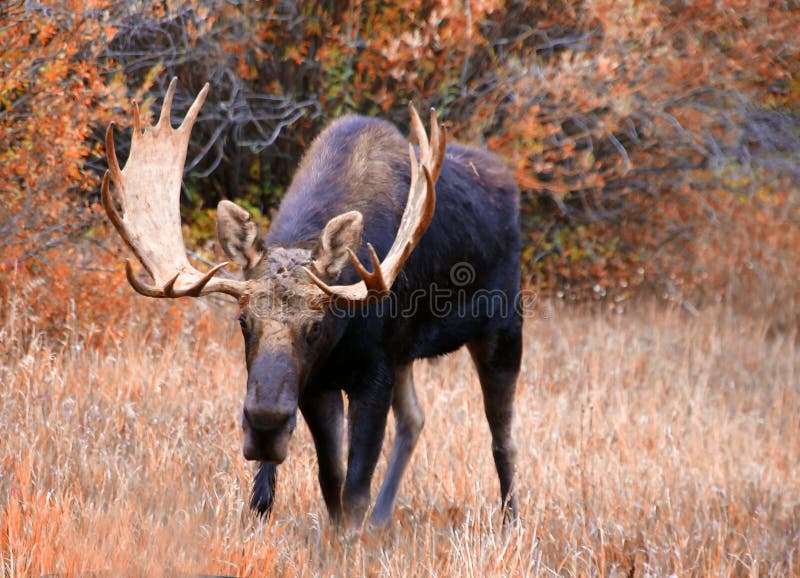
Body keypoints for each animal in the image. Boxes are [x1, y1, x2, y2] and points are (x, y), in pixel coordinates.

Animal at [102, 78, 522, 527]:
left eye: (315, 325)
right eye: (243, 321)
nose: (265, 424)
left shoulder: (373, 373)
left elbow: (355, 488)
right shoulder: (319, 383)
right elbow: (331, 481)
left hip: (502, 329)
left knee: (503, 436)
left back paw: (511, 522)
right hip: (405, 355)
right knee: (414, 418)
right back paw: (382, 520)